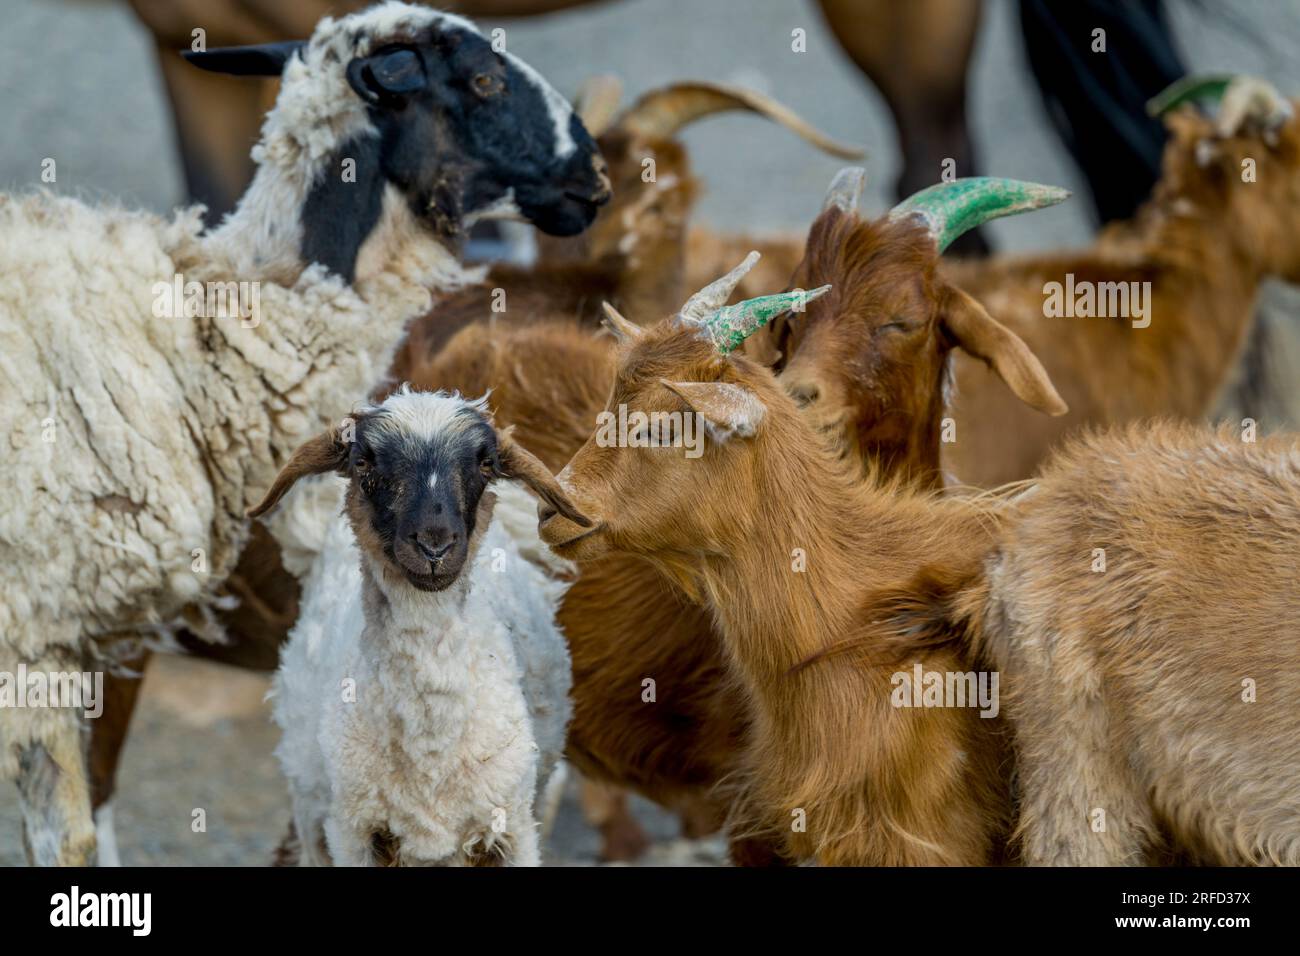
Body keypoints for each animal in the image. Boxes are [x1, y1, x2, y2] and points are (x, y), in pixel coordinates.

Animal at [246, 387, 589, 866]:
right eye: (363, 461)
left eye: (485, 462)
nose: (434, 545)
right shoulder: (353, 832)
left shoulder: (513, 828)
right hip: (310, 806)